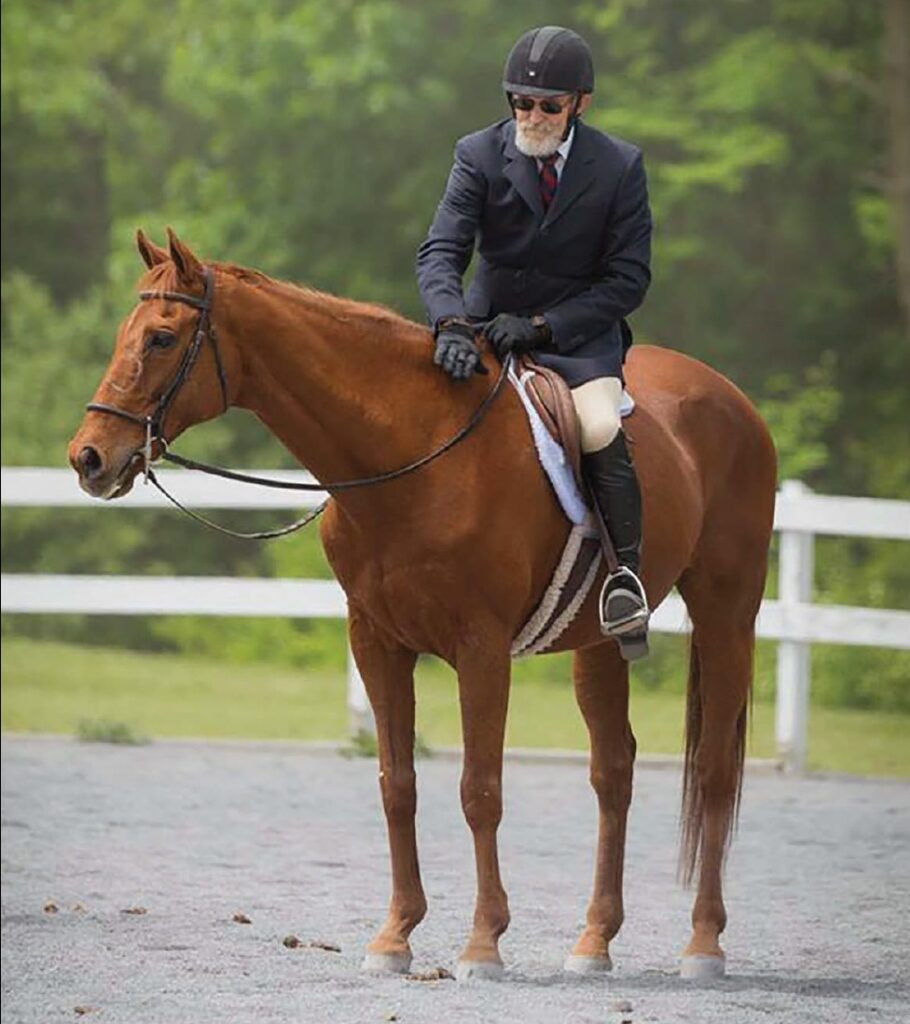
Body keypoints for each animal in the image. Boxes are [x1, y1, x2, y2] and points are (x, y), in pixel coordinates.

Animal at [68, 229, 777, 982]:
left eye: (163, 338)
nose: (89, 457)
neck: (412, 454)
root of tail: (732, 399)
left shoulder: (482, 648)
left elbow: (479, 790)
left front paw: (483, 943)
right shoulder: (376, 642)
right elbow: (397, 784)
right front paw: (395, 937)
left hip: (727, 614)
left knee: (714, 769)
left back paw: (703, 944)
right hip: (598, 643)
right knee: (613, 773)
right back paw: (593, 943)